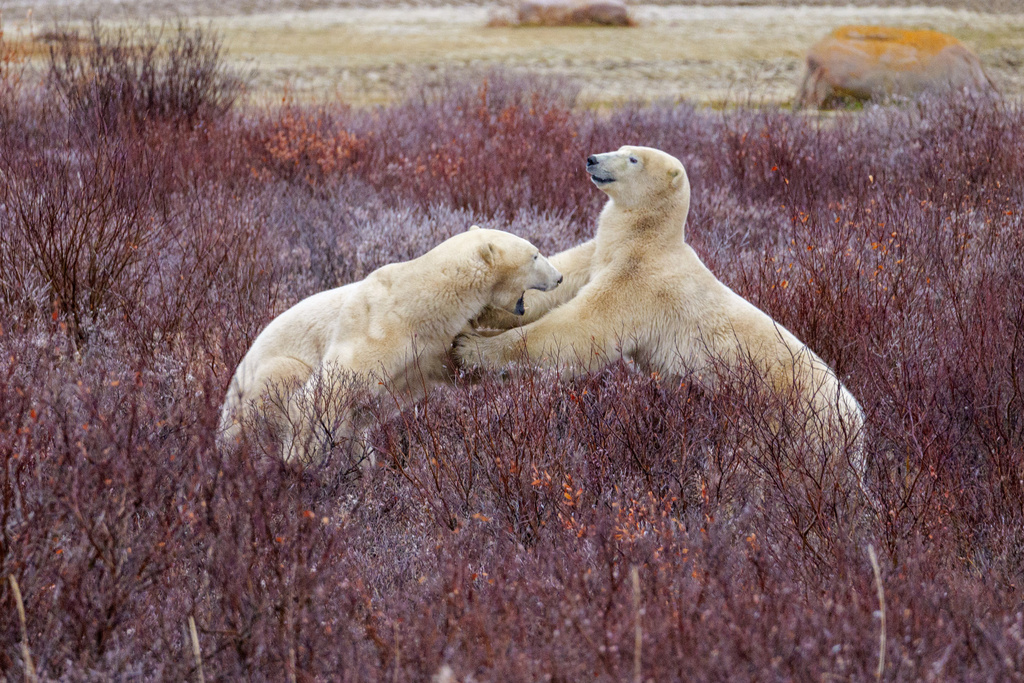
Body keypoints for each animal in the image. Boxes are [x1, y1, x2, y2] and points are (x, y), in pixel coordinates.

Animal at [220, 226, 563, 465]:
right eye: (535, 255)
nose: (559, 277)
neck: (420, 300)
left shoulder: (432, 342)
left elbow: (456, 367)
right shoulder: (378, 325)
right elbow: (330, 387)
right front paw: (299, 457)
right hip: (257, 390)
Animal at [458, 146, 866, 484]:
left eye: (632, 158)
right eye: (620, 146)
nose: (592, 159)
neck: (648, 240)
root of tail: (859, 429)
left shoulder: (641, 283)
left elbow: (582, 329)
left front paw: (471, 346)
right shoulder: (601, 255)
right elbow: (564, 280)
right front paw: (483, 312)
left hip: (797, 426)